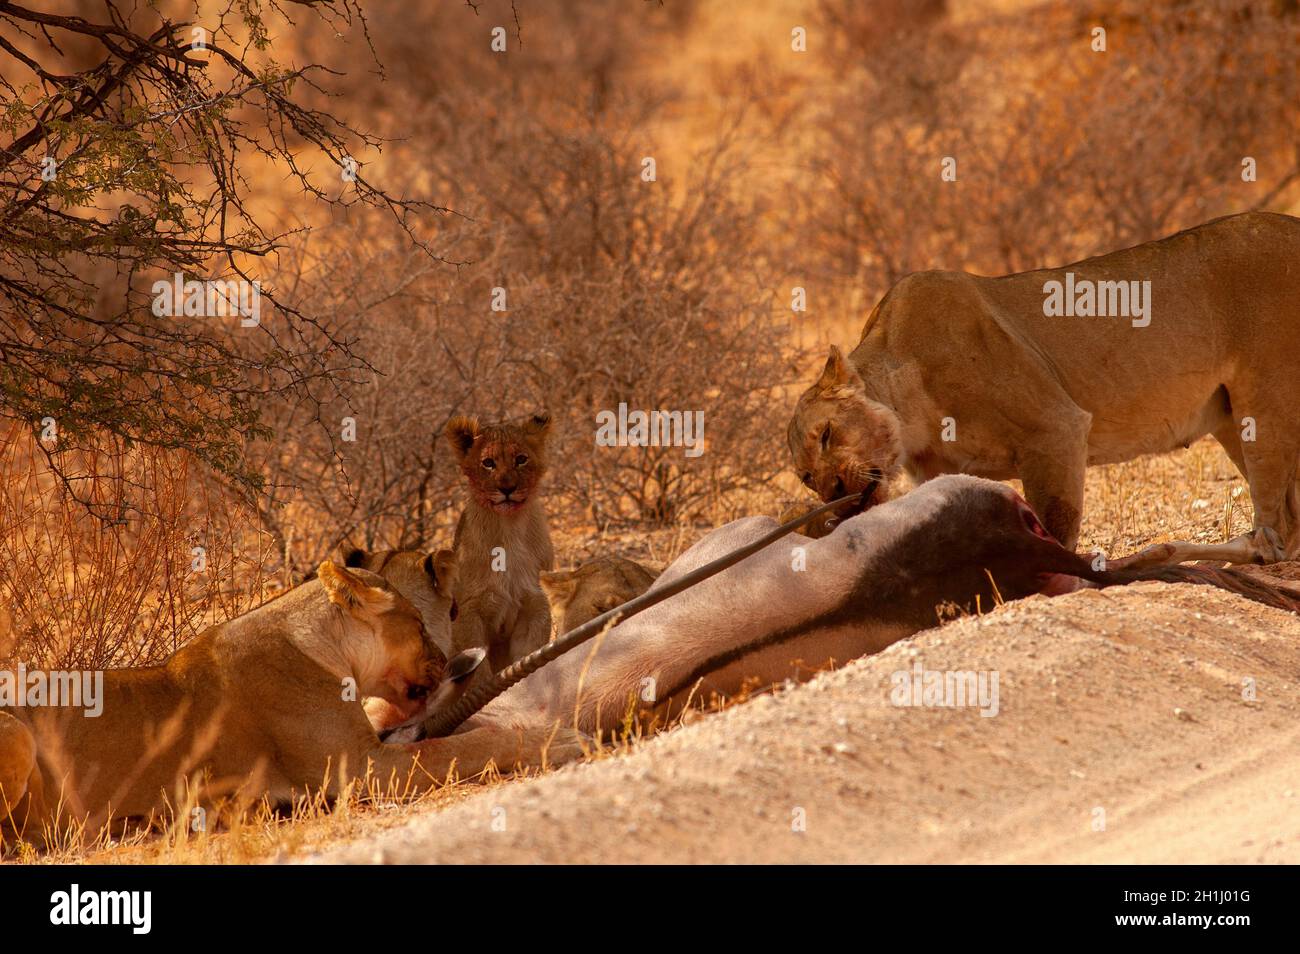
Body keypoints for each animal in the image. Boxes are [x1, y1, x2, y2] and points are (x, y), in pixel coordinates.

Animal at [445, 412, 555, 673]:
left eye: (521, 459)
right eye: (488, 463)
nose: (507, 488)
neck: (509, 527)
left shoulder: (535, 604)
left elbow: (528, 655)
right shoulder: (468, 610)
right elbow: (479, 669)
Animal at [788, 211, 1300, 564]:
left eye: (828, 434)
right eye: (806, 477)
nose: (834, 491)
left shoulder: (1056, 427)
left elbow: (1056, 524)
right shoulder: (937, 476)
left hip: (1265, 402)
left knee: (1276, 534)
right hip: (1231, 417)